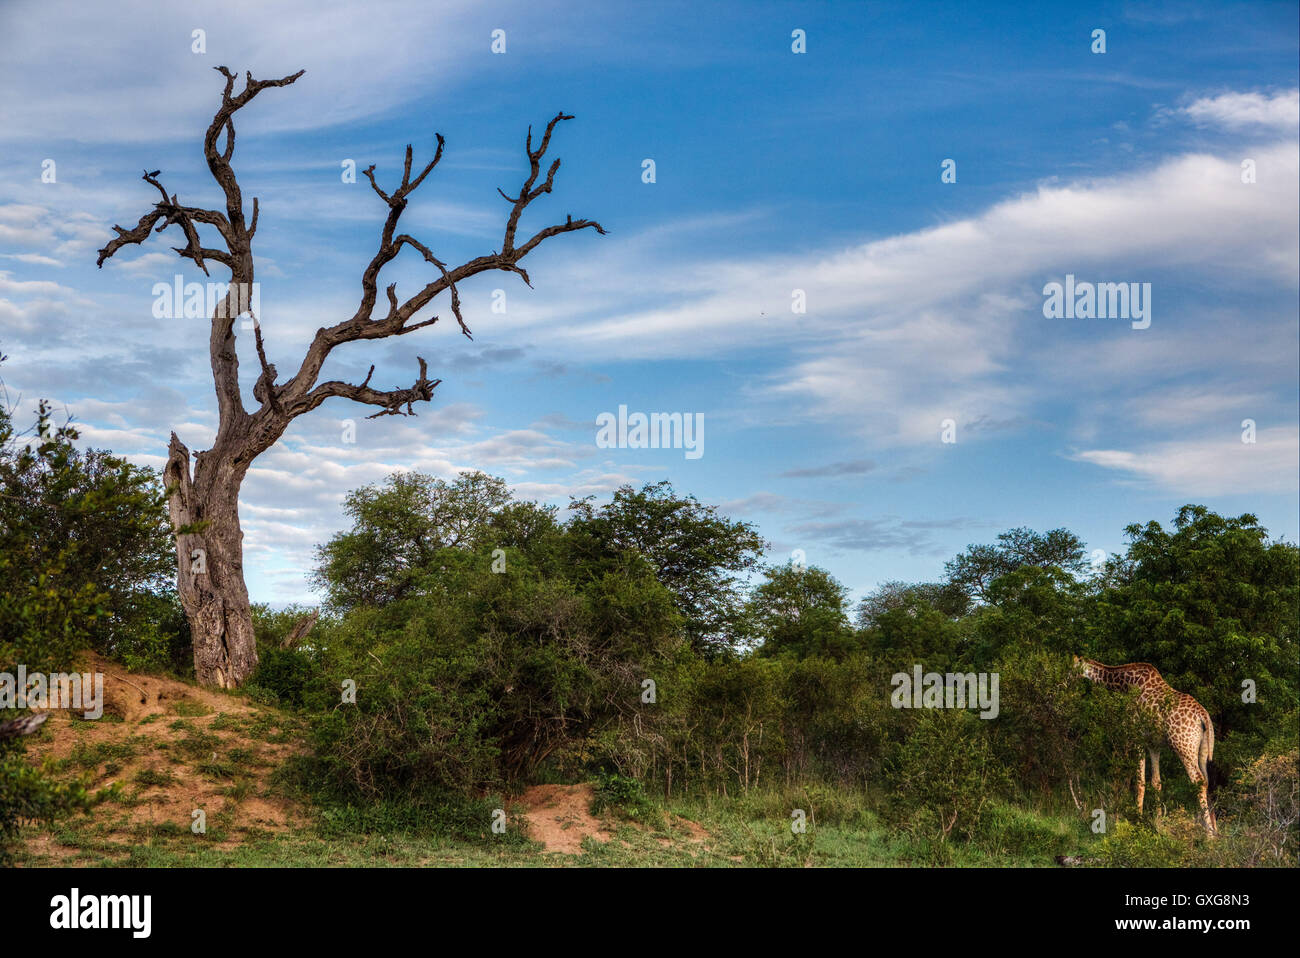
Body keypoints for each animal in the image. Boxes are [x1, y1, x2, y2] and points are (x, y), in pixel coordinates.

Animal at [1072, 656, 1217, 835]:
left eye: (1071, 667)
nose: (1067, 680)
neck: (1125, 684)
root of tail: (1204, 717)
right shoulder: (1154, 744)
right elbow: (1156, 782)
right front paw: (1158, 821)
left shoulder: (1137, 737)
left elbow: (1140, 781)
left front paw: (1137, 819)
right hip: (1202, 750)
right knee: (1207, 782)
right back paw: (1213, 829)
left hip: (1183, 747)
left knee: (1198, 781)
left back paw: (1209, 834)